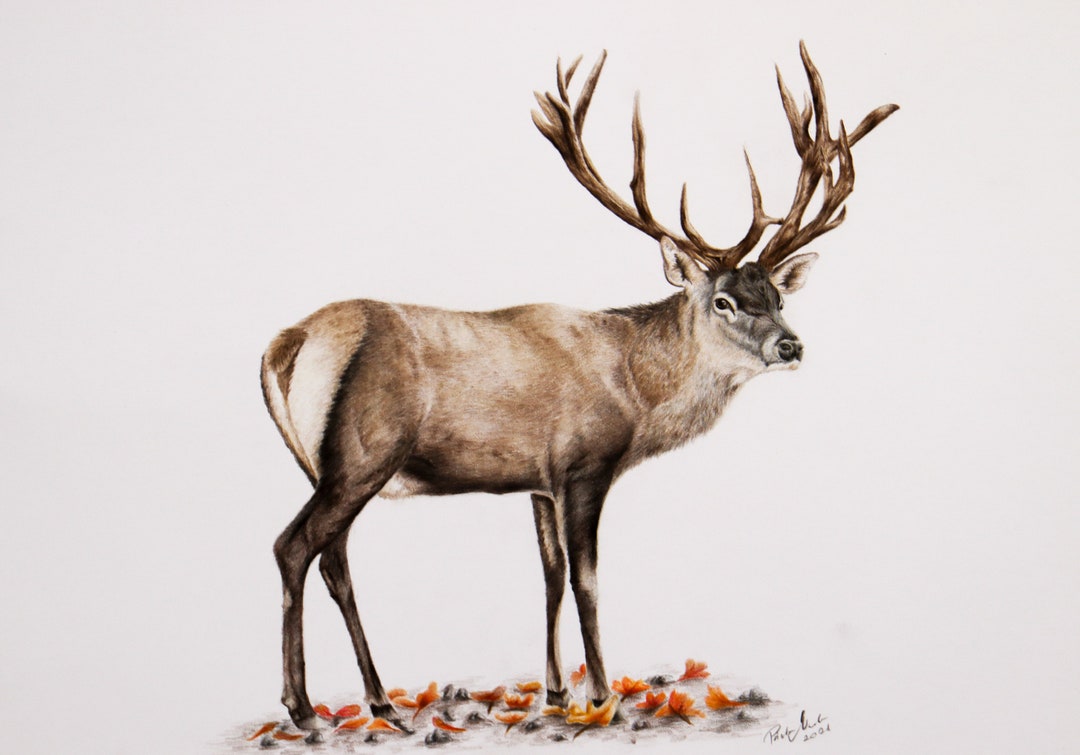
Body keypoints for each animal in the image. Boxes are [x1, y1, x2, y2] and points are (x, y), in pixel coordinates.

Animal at [260, 42, 896, 731]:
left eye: (778, 297)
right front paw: (600, 696)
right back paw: (301, 706)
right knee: (293, 547)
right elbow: (586, 579)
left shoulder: (538, 481)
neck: (635, 390)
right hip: (362, 453)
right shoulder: (585, 463)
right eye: (723, 301)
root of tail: (285, 345)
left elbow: (550, 575)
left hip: (324, 465)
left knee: (334, 559)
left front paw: (556, 691)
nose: (791, 346)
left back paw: (377, 700)